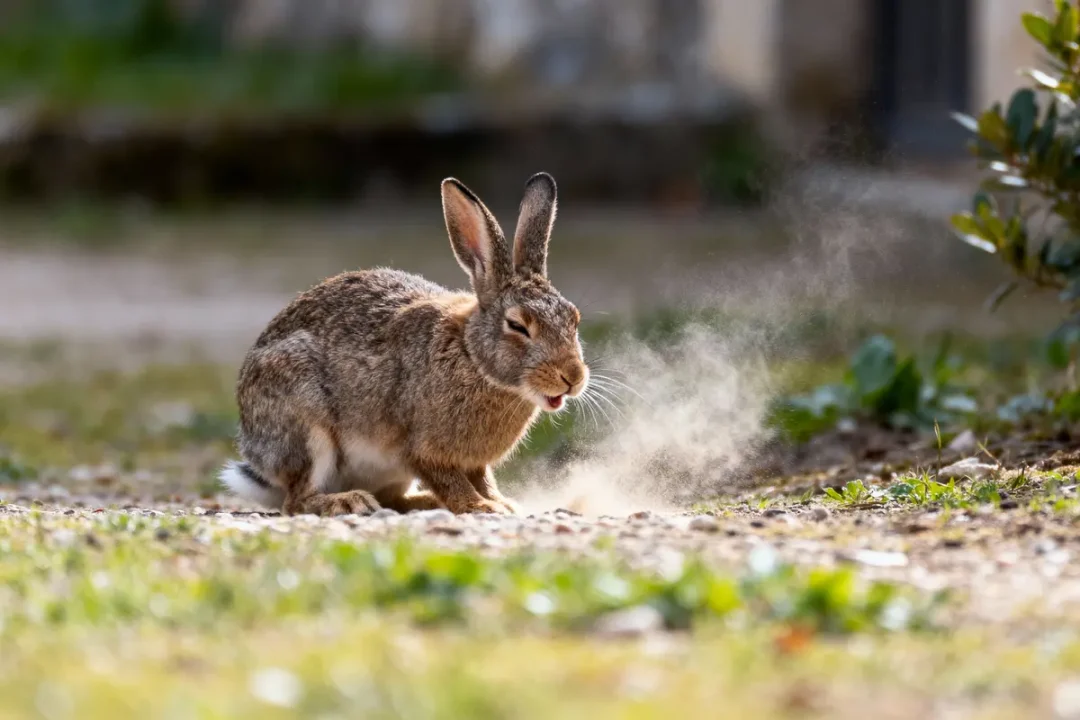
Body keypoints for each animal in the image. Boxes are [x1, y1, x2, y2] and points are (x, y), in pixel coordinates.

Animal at [219, 172, 590, 516]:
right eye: (517, 326)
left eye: (574, 319)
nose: (572, 377)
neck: (473, 358)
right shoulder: (423, 450)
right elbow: (449, 479)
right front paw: (482, 507)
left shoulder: (473, 462)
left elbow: (483, 478)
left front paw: (503, 503)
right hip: (305, 425)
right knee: (297, 500)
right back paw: (349, 501)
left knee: (390, 499)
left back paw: (422, 502)